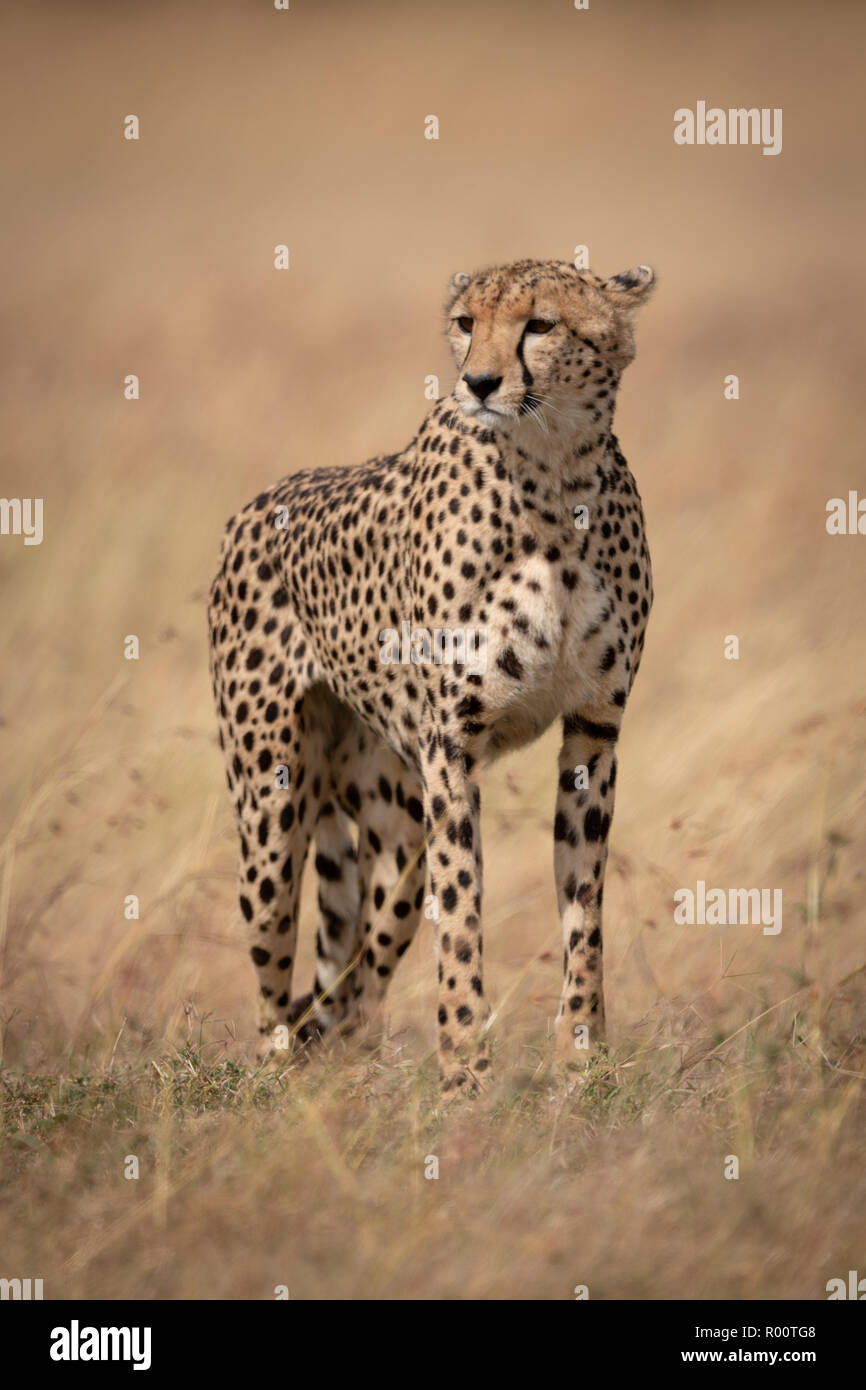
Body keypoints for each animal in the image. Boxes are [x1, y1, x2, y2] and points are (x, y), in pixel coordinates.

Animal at [208, 256, 655, 1093]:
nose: (478, 381)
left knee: (358, 976)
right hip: (272, 807)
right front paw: (465, 1074)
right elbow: (464, 910)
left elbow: (584, 913)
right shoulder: (452, 743)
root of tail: (257, 504)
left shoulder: (595, 729)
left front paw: (582, 1060)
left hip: (392, 827)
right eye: (464, 323)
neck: (556, 480)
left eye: (540, 325)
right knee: (277, 978)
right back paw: (281, 1074)